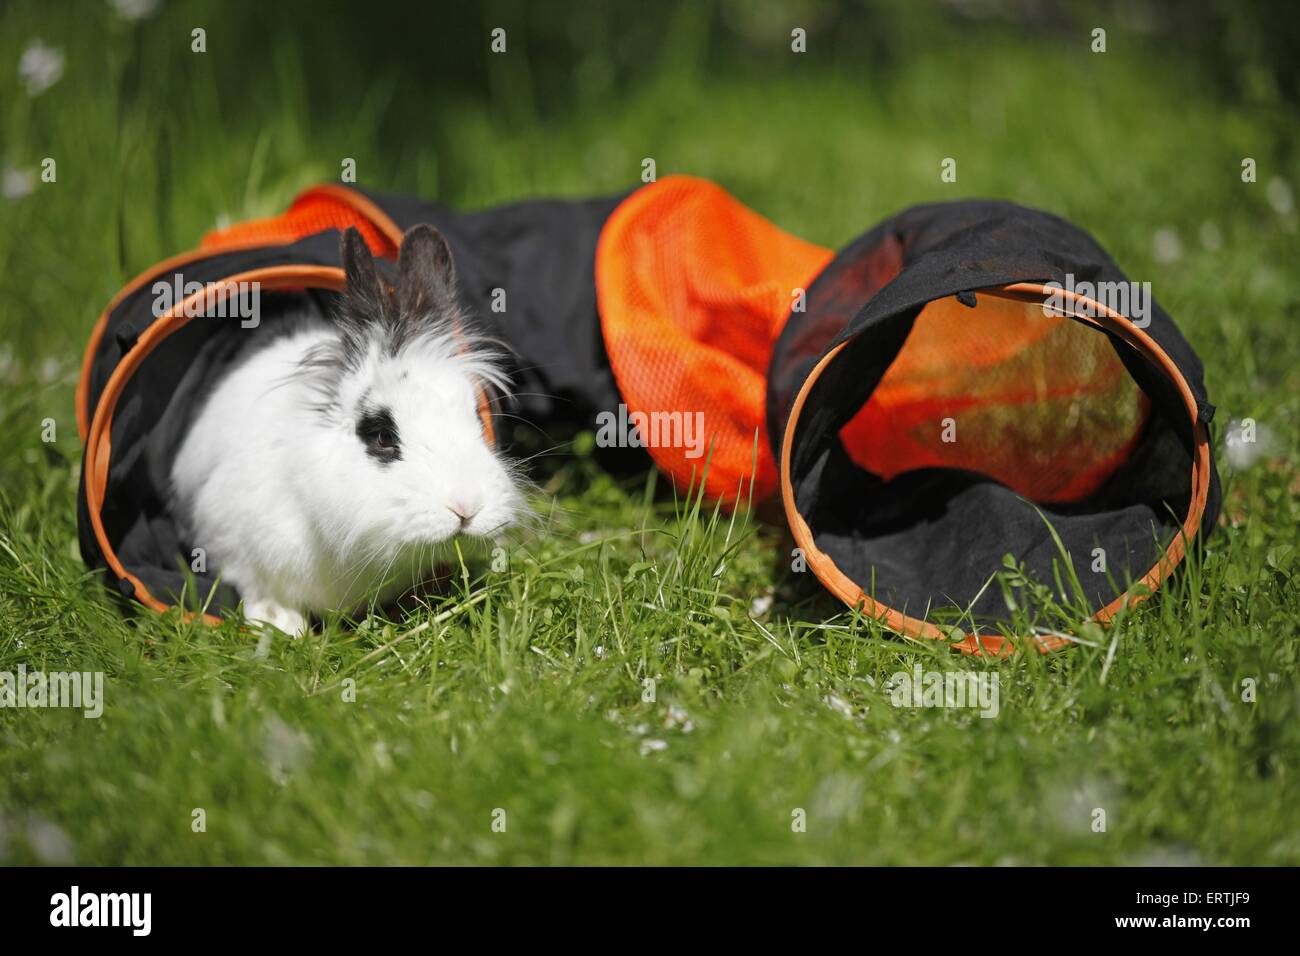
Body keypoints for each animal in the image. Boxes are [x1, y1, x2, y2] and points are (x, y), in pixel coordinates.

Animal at [169, 224, 524, 635]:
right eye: (382, 435)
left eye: (476, 419)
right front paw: (282, 625)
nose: (466, 508)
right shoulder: (229, 535)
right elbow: (255, 584)